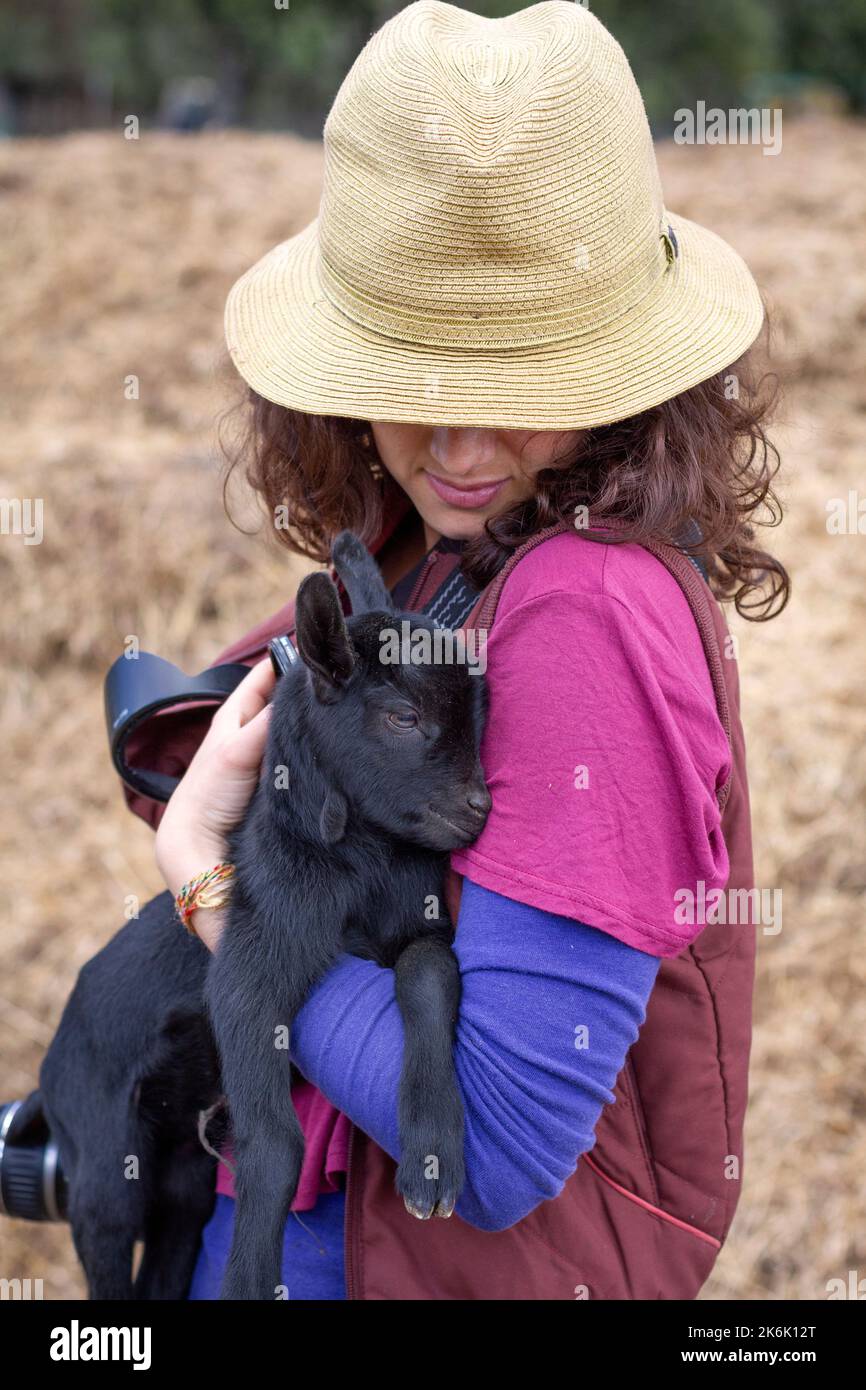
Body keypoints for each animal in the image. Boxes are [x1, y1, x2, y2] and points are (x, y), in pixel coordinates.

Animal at [37, 531, 490, 1299]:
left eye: (482, 712)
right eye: (403, 717)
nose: (480, 809)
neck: (361, 864)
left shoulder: (418, 928)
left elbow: (430, 976)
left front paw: (432, 1157)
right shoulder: (249, 974)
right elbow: (276, 1145)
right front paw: (250, 1276)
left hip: (182, 1174)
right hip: (101, 1158)